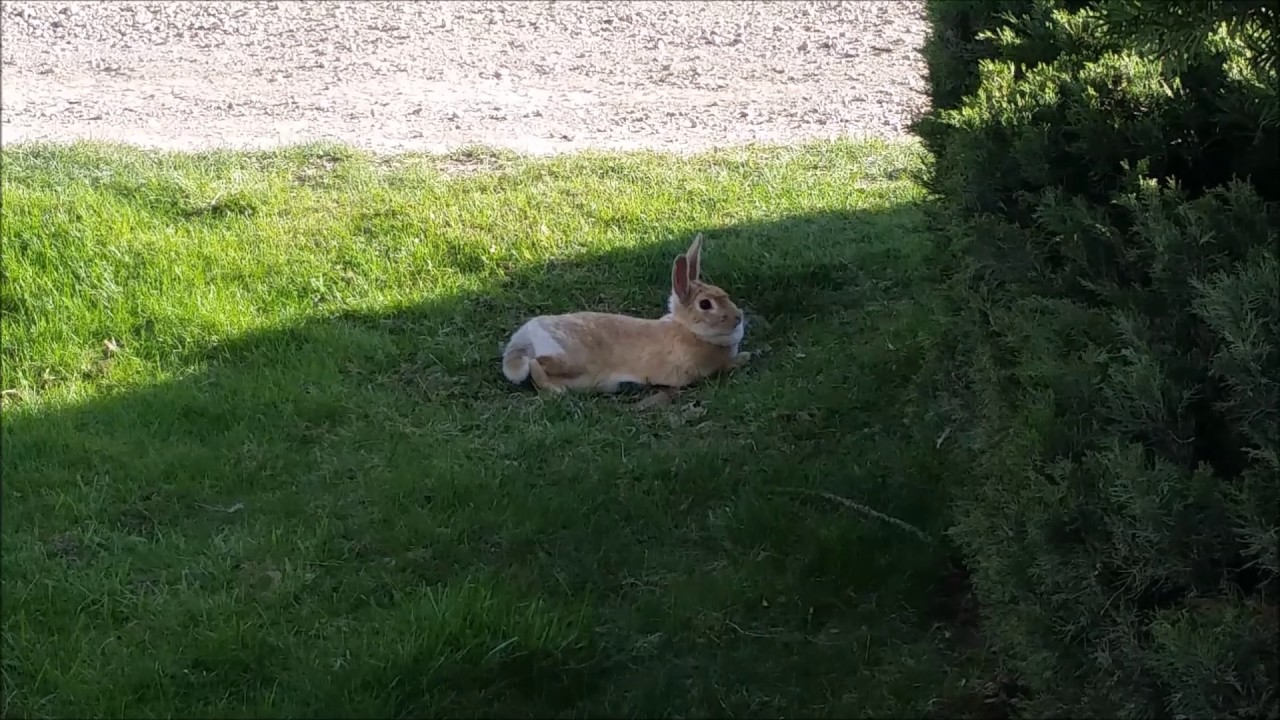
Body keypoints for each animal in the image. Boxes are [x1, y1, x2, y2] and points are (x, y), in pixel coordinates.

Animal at [501, 233, 751, 394]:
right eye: (705, 305)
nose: (738, 318)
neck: (688, 329)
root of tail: (526, 335)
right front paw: (745, 357)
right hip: (569, 360)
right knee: (535, 365)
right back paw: (557, 389)